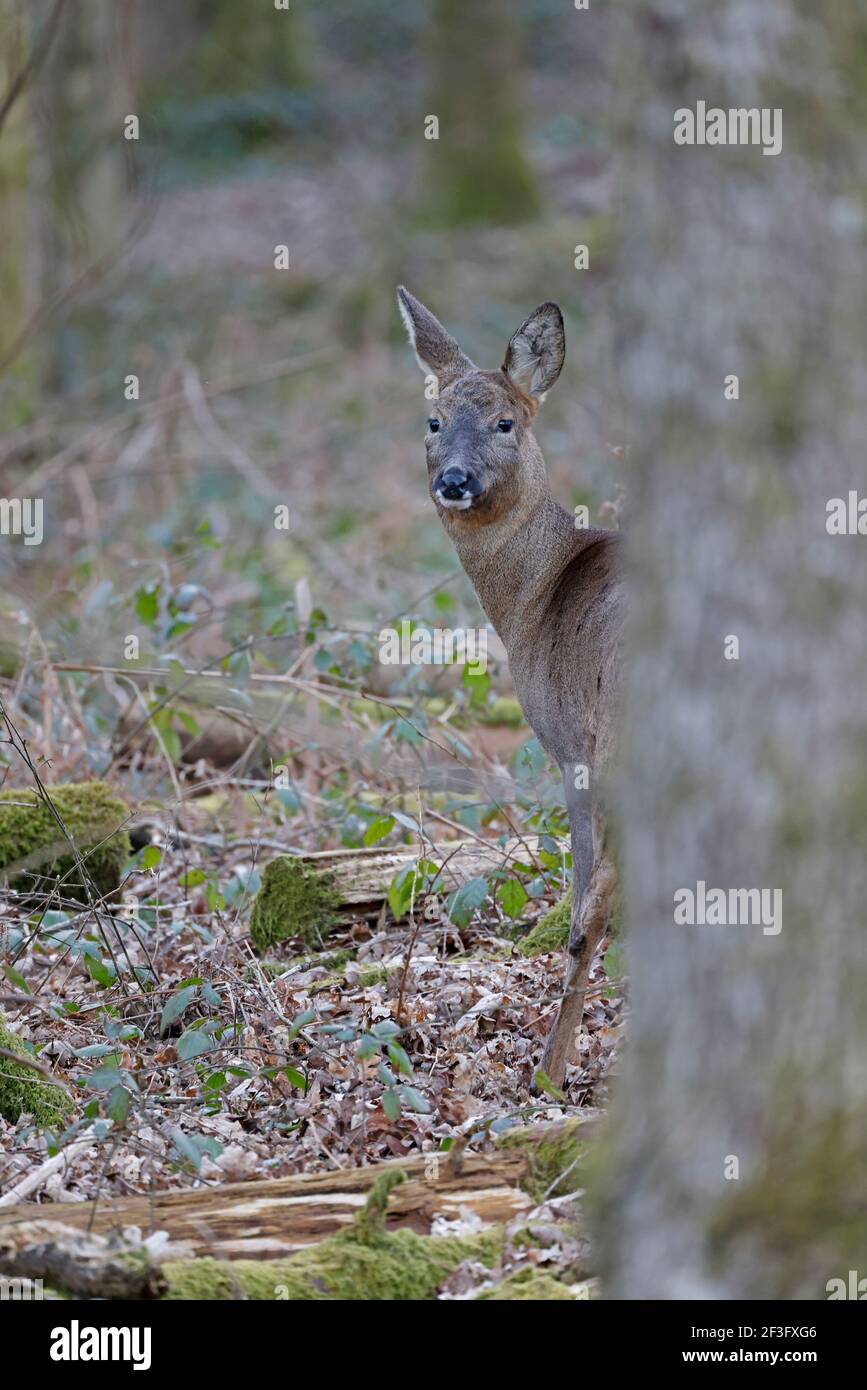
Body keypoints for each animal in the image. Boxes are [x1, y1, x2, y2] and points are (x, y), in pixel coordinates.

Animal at [397, 287, 624, 1089]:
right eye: (432, 421)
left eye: (505, 422)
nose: (454, 481)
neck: (532, 598)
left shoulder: (571, 743)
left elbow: (584, 897)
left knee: (601, 896)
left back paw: (549, 1070)